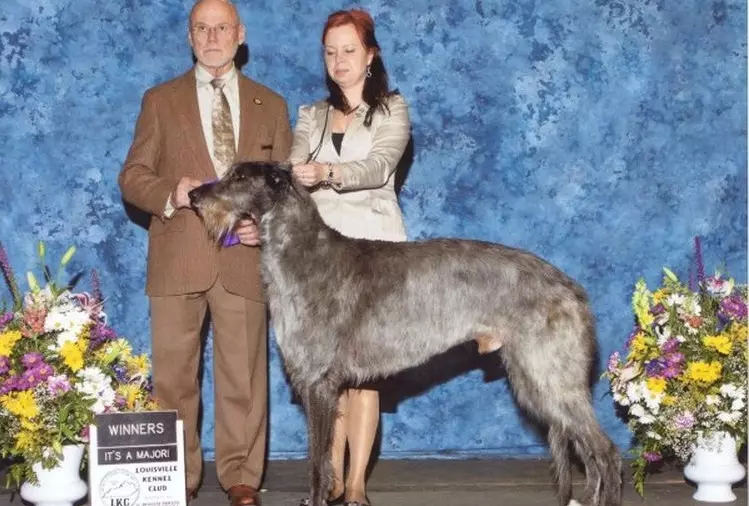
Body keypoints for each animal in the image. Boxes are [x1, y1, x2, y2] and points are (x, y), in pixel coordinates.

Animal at [190, 161, 624, 506]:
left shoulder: (318, 383)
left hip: (551, 374)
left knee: (607, 453)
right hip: (534, 378)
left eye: (239, 176)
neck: (301, 252)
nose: (193, 193)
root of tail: (573, 289)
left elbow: (316, 462)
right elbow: (325, 460)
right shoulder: (326, 386)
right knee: (589, 452)